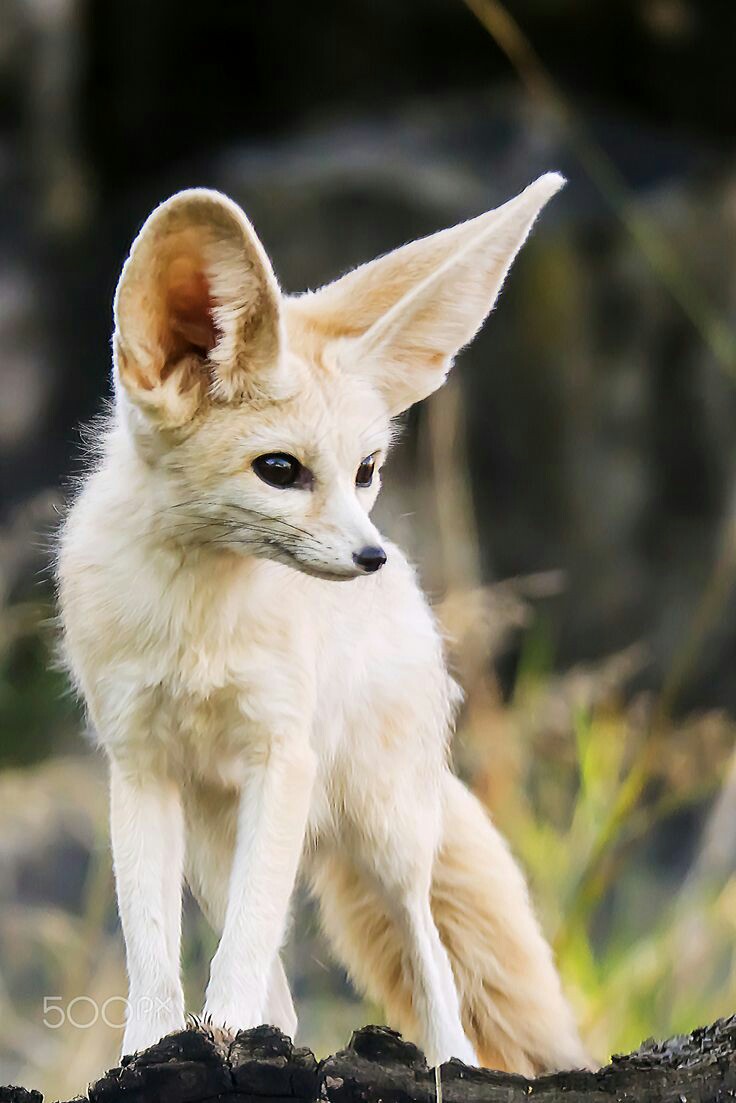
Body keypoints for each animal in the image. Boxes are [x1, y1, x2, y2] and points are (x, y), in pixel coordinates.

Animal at [56, 172, 590, 1075]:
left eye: (366, 470)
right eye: (280, 470)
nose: (370, 556)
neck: (195, 627)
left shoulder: (283, 754)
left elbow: (242, 947)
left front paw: (219, 1035)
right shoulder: (139, 766)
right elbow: (154, 950)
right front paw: (159, 1050)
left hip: (383, 831)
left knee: (430, 959)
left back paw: (448, 1063)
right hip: (218, 836)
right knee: (280, 981)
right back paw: (266, 1043)